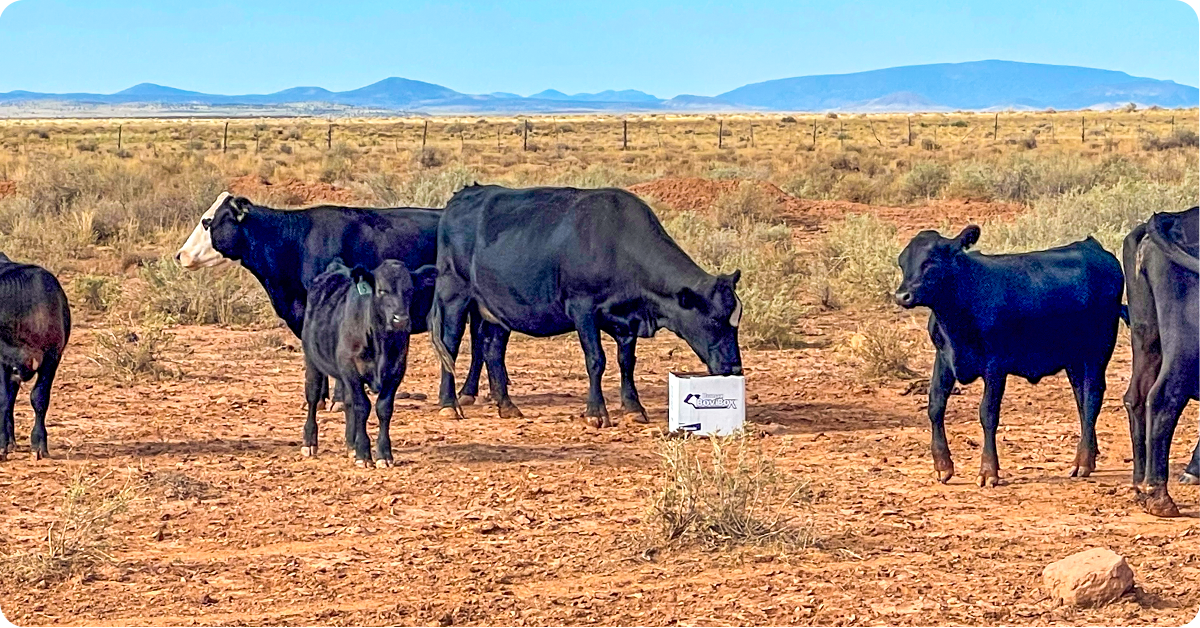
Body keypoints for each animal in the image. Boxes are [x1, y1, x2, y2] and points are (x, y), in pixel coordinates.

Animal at [0, 253, 71, 460]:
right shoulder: (3, 362)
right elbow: (3, 399)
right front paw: (2, 445)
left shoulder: (52, 358)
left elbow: (39, 398)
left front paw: (39, 444)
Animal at [175, 194, 490, 417]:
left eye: (207, 221)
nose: (180, 255)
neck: (297, 241)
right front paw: (318, 399)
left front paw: (338, 400)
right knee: (481, 343)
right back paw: (468, 393)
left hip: (454, 301)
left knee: (451, 342)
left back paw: (449, 402)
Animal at [301, 259, 435, 466]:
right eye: (381, 290)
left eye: (410, 290)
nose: (401, 319)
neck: (381, 342)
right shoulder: (351, 368)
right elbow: (362, 407)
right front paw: (364, 454)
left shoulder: (396, 370)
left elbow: (383, 408)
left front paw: (383, 454)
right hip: (312, 361)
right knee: (313, 397)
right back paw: (309, 443)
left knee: (347, 401)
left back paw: (351, 444)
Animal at [429, 184, 743, 426]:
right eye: (715, 319)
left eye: (735, 321)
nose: (734, 367)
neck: (617, 243)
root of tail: (464, 194)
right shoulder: (583, 311)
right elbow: (596, 359)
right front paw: (596, 412)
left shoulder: (627, 321)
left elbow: (626, 362)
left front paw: (634, 408)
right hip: (454, 295)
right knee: (450, 345)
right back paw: (449, 404)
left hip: (496, 310)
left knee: (492, 350)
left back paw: (507, 406)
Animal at [895, 225, 1124, 488]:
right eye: (902, 262)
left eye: (930, 261)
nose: (902, 296)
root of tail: (1091, 246)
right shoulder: (943, 358)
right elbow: (935, 406)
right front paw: (943, 466)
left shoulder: (995, 364)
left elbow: (988, 413)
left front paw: (988, 471)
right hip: (1074, 358)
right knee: (1081, 399)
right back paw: (1088, 456)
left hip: (1098, 350)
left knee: (1092, 397)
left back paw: (1083, 462)